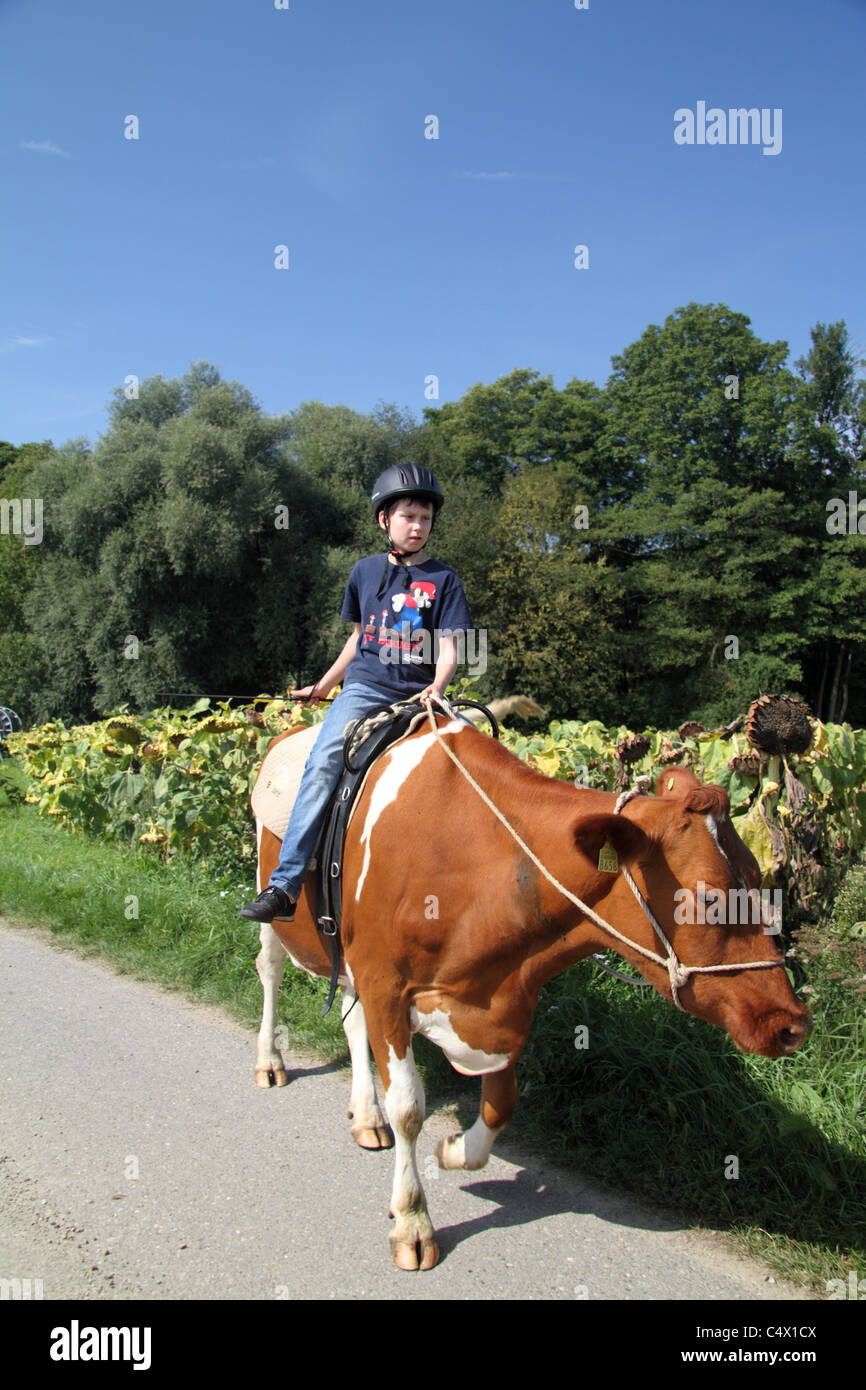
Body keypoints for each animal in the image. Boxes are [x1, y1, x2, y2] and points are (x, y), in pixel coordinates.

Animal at [252, 706, 810, 1271]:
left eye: (759, 876)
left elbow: (501, 1103)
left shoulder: (503, 1000)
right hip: (273, 902)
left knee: (352, 1018)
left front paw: (454, 1151)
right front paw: (411, 1220)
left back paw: (366, 1114)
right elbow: (408, 1106)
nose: (792, 1023)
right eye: (708, 897)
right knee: (269, 969)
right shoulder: (385, 982)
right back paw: (270, 1062)